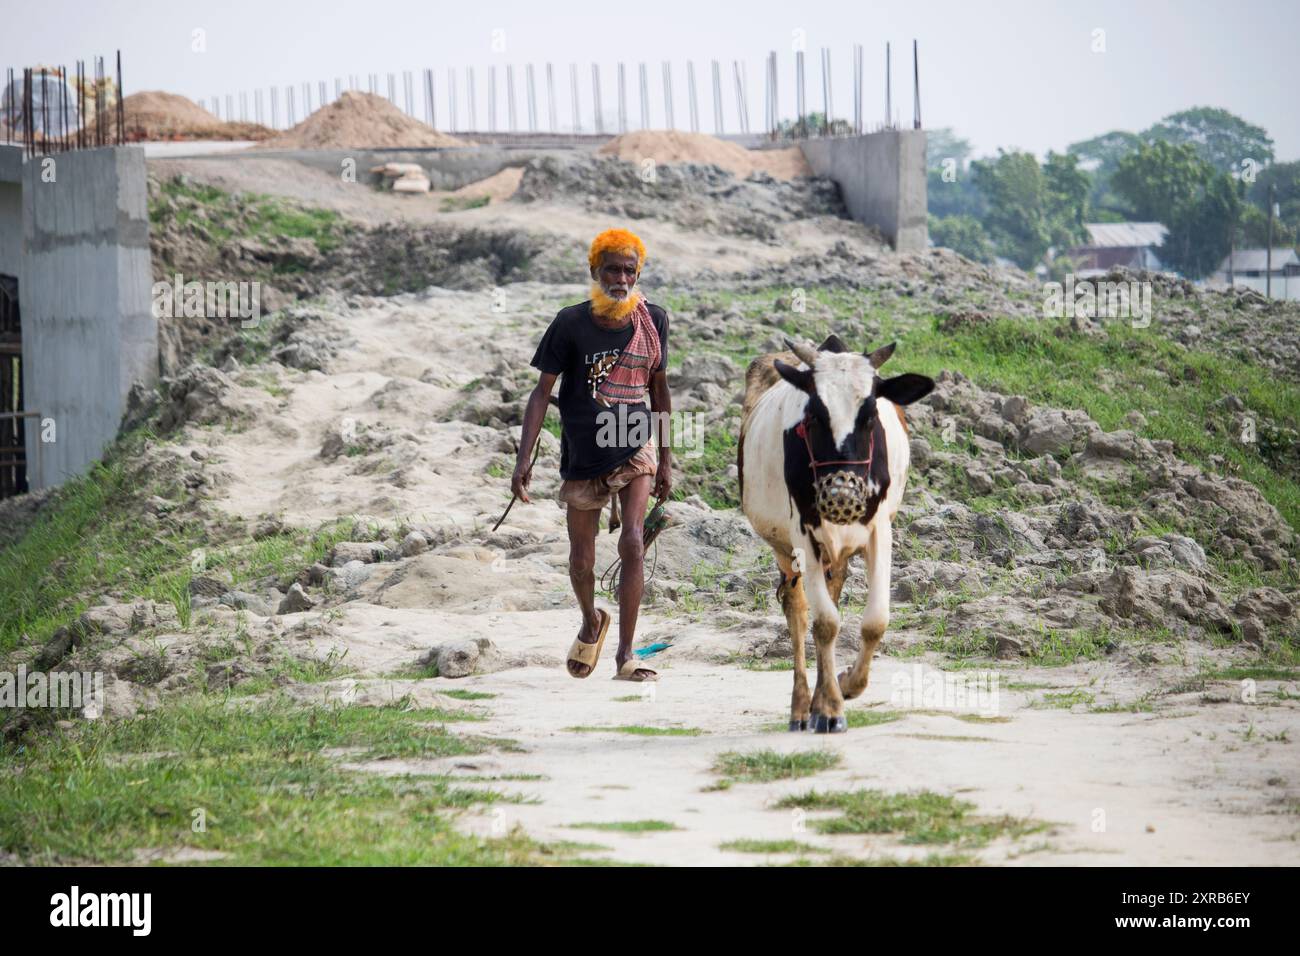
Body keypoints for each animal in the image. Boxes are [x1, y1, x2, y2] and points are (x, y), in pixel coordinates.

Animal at [738, 334, 935, 733]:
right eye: (813, 415)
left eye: (870, 415)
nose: (842, 493)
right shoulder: (803, 535)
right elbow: (825, 623)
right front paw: (829, 708)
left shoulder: (880, 531)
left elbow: (875, 621)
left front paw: (846, 686)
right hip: (785, 549)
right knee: (798, 614)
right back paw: (802, 708)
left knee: (830, 595)